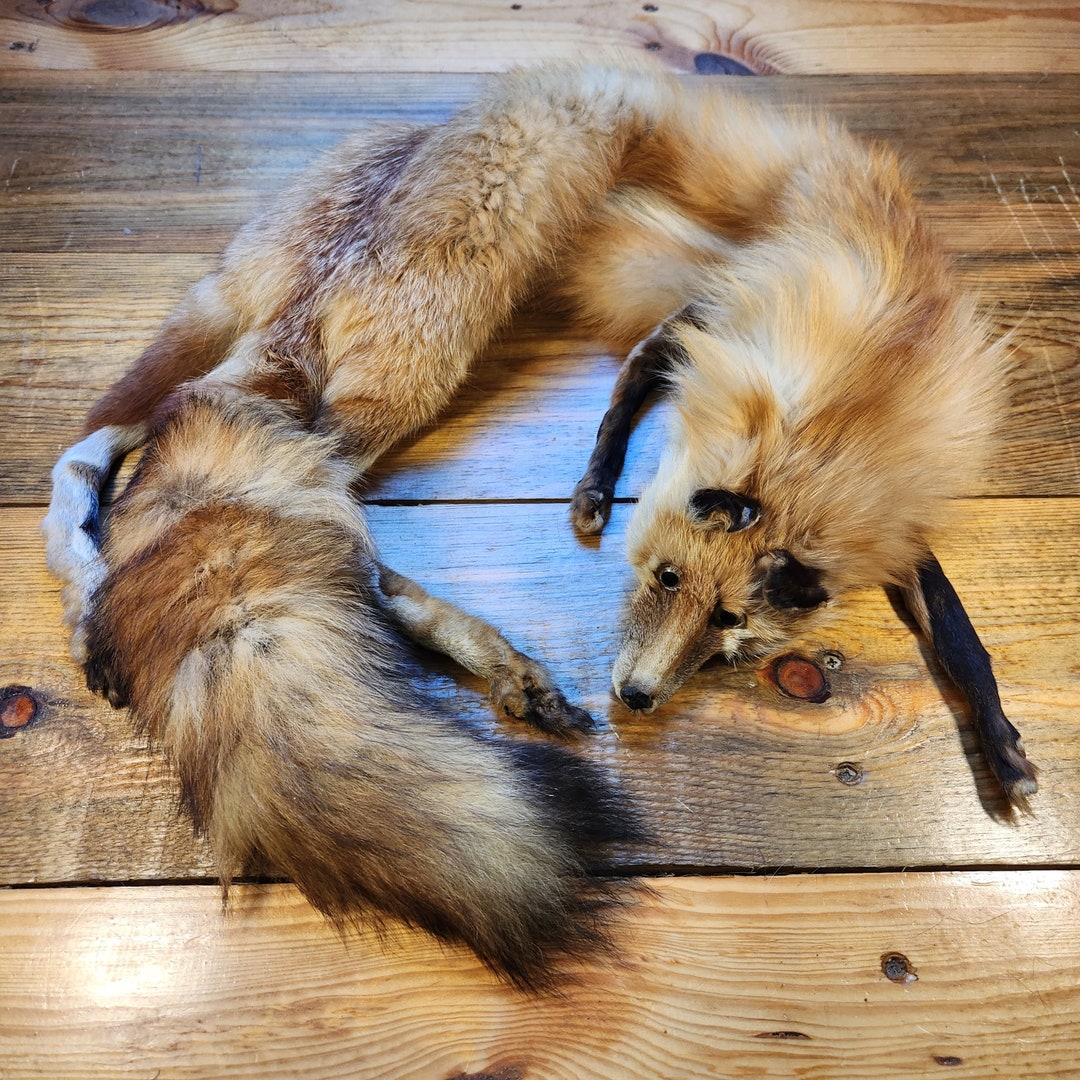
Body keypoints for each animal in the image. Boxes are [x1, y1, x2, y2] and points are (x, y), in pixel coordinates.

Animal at [41, 62, 1034, 990]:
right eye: (666, 580)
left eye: (730, 635)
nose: (636, 698)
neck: (879, 374)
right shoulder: (723, 320)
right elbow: (642, 371)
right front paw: (597, 484)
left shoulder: (854, 477)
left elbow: (951, 622)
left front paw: (999, 740)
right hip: (413, 355)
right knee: (201, 442)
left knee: (137, 441)